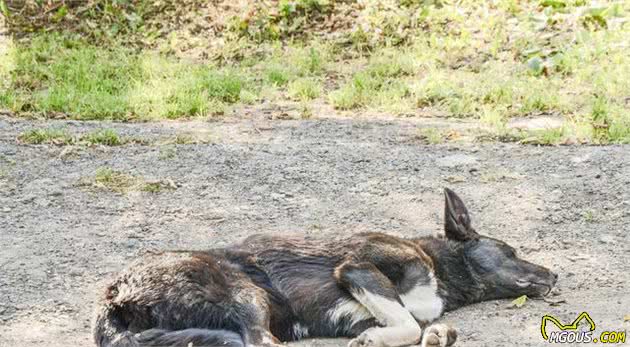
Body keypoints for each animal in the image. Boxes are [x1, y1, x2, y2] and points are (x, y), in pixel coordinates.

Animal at [92, 190, 556, 347]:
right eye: (511, 250)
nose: (555, 275)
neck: (441, 268)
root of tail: (111, 298)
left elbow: (421, 323)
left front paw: (437, 335)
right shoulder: (357, 268)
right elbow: (412, 317)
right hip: (247, 294)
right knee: (260, 342)